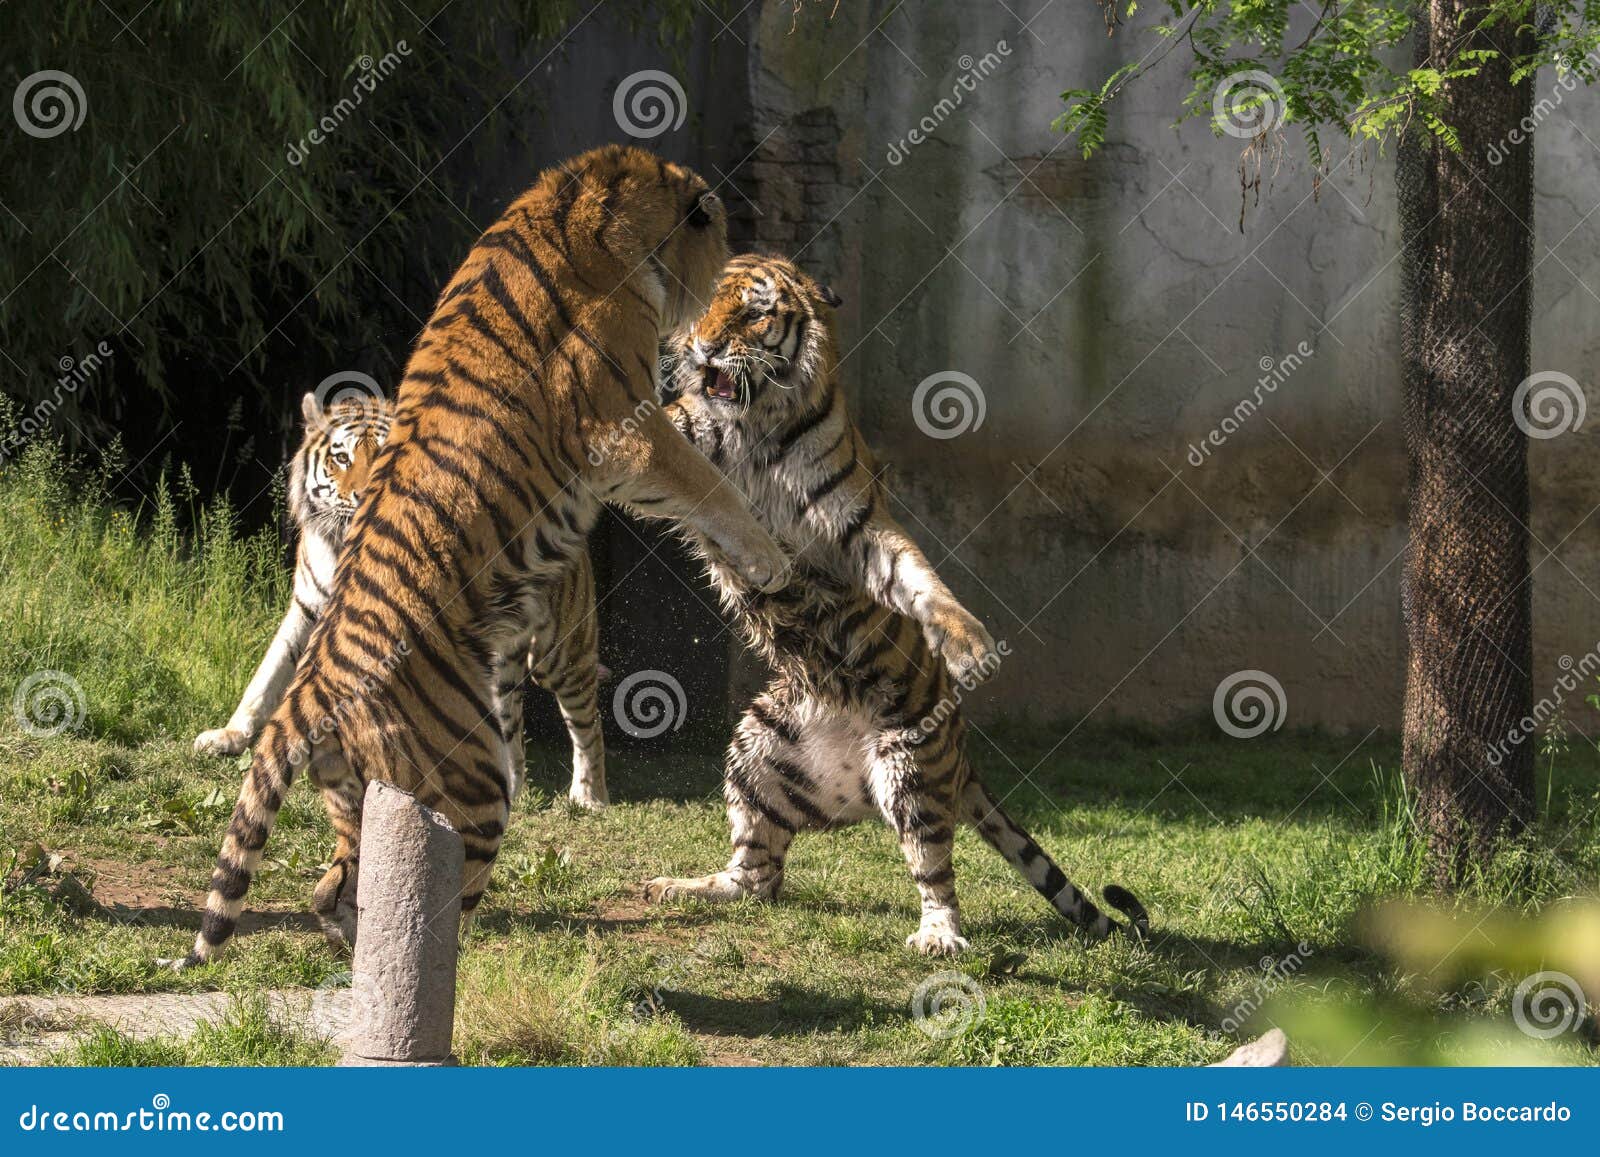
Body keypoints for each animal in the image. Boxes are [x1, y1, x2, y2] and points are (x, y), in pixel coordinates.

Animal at [192, 391, 613, 811]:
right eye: (340, 457)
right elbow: (268, 674)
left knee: (587, 721)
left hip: (558, 652)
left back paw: (589, 795)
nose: (362, 494)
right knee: (511, 723)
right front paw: (228, 736)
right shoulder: (309, 608)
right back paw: (511, 787)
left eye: (383, 453)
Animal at [643, 254, 1148, 954]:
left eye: (753, 311)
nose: (704, 346)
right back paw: (679, 888)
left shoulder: (856, 526)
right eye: (702, 307)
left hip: (911, 764)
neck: (756, 422)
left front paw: (970, 647)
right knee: (758, 879)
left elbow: (919, 581)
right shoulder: (686, 443)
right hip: (757, 748)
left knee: (933, 869)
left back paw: (940, 935)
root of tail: (963, 757)